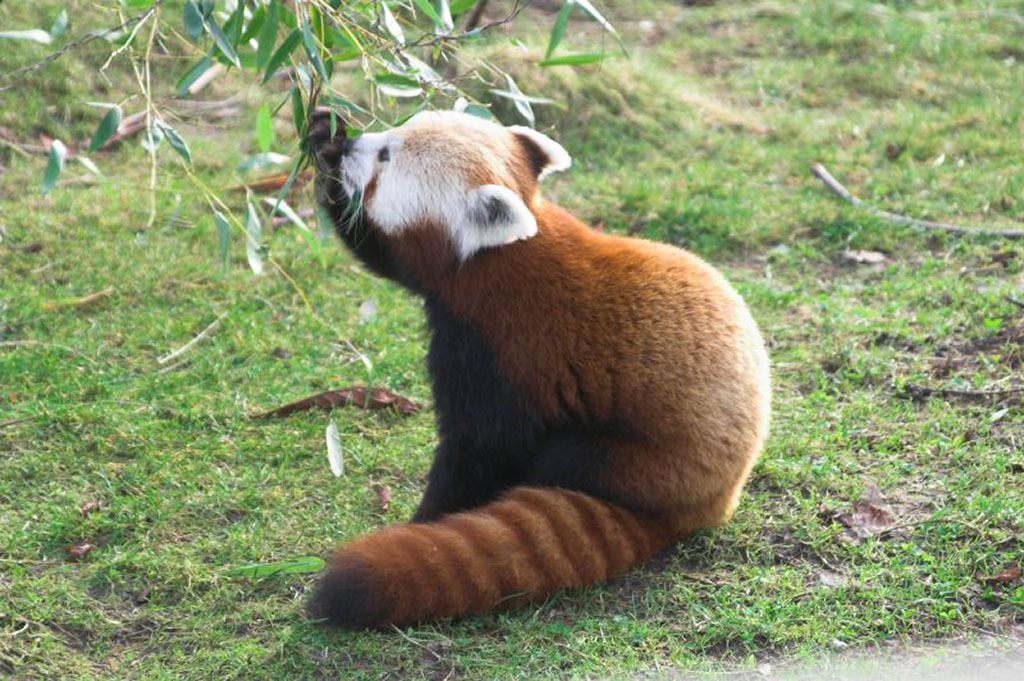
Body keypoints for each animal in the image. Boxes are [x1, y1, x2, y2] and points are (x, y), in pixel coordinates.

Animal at [305, 109, 771, 628]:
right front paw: (321, 131)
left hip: (632, 460)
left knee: (559, 459)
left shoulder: (496, 348)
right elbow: (381, 255)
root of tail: (711, 505)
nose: (353, 145)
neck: (503, 252)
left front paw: (427, 520)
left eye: (385, 157)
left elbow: (481, 448)